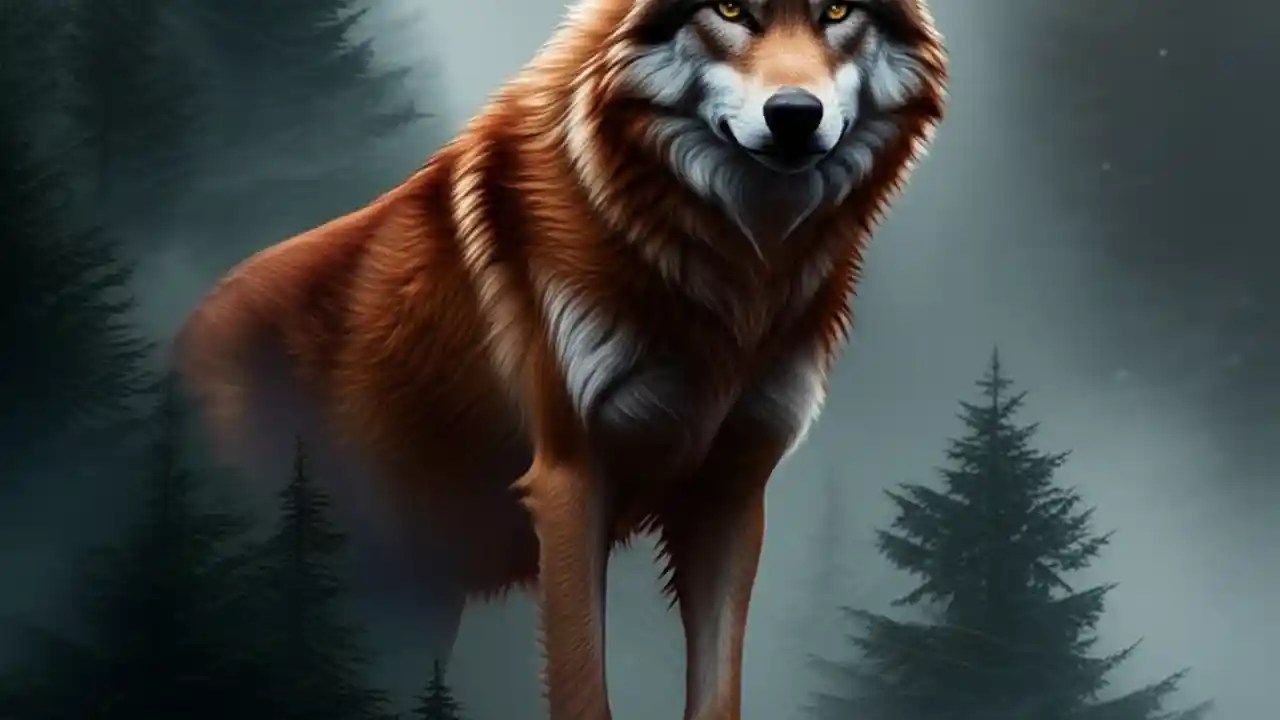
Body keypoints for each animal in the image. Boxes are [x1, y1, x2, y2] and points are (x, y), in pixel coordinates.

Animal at [176, 1, 947, 717]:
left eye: (837, 11)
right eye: (729, 11)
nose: (793, 115)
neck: (729, 270)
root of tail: (187, 328)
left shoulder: (730, 491)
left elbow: (716, 691)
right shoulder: (570, 481)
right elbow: (581, 686)